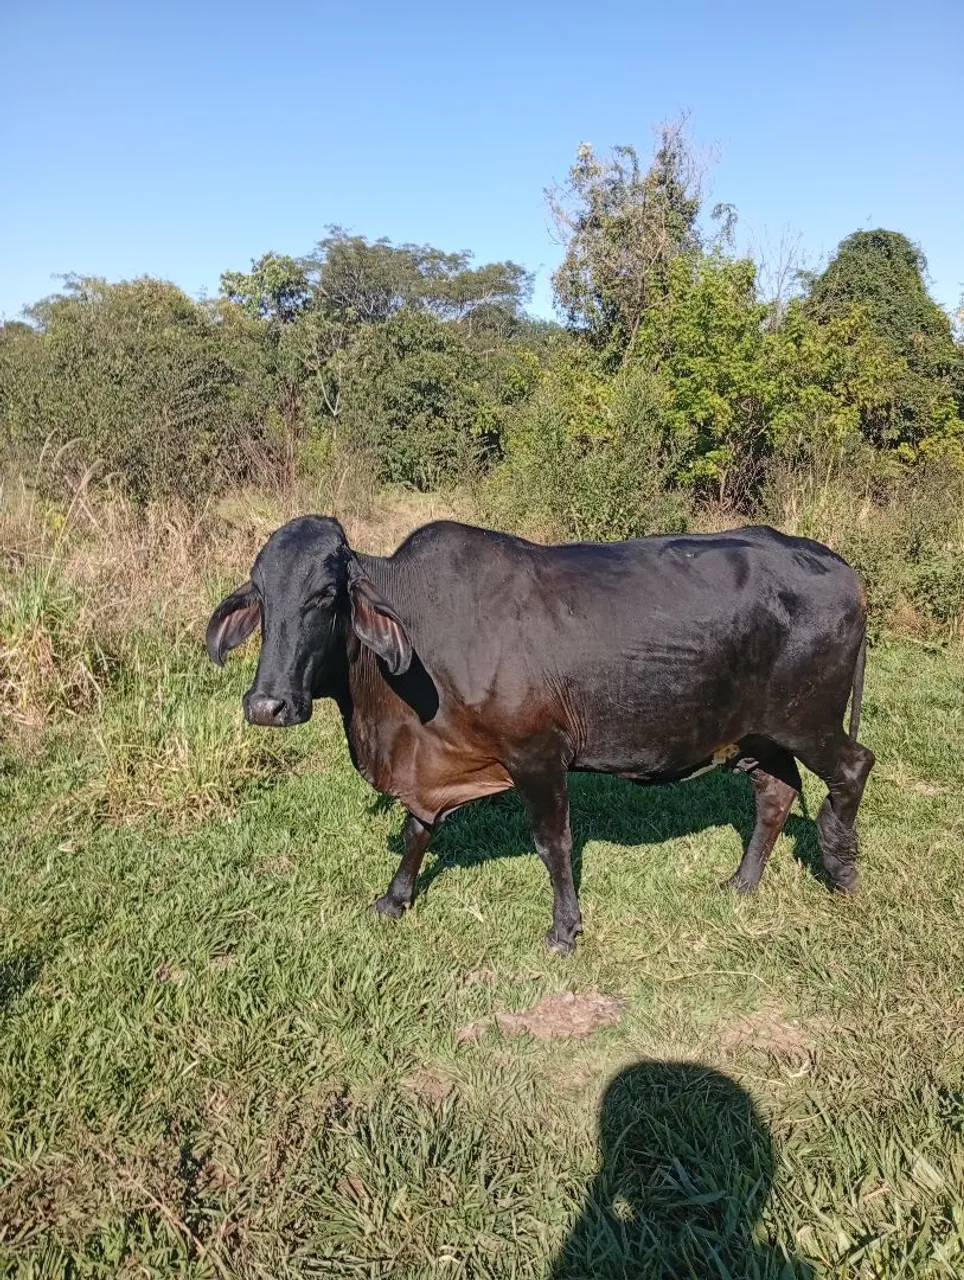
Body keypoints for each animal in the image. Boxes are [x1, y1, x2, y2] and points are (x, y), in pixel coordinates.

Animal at [206, 516, 874, 953]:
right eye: (260, 596)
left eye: (325, 595)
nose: (268, 704)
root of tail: (840, 566)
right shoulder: (431, 764)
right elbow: (418, 829)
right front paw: (394, 899)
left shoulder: (538, 755)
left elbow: (554, 845)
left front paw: (564, 929)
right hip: (762, 733)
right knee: (775, 794)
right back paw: (741, 884)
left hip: (808, 723)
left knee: (853, 768)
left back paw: (842, 875)